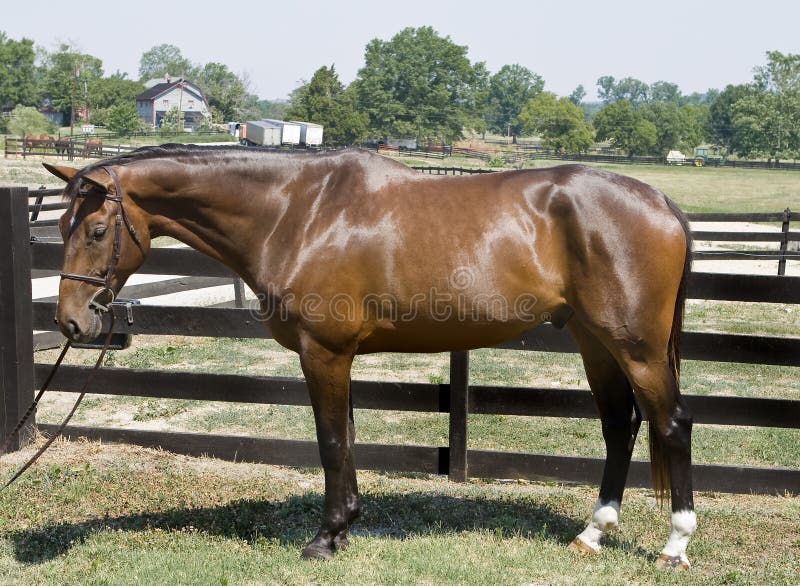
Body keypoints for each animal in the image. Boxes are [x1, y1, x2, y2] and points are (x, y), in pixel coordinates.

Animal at [43, 145, 695, 569]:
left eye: (96, 230)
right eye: (61, 224)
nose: (72, 321)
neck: (297, 212)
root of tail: (662, 201)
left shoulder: (323, 353)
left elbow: (331, 442)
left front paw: (325, 538)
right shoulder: (342, 357)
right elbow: (349, 439)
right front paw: (346, 528)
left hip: (636, 348)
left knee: (670, 424)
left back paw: (675, 544)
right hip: (593, 340)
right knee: (619, 427)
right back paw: (593, 533)